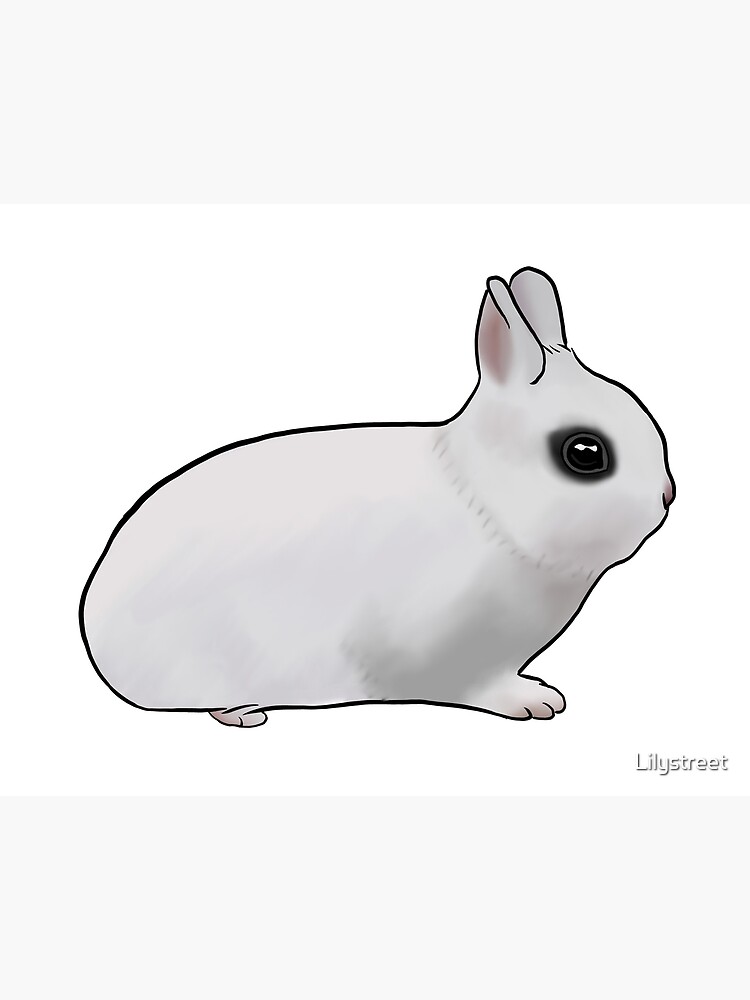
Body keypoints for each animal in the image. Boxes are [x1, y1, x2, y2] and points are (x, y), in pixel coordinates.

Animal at [80, 267, 675, 727]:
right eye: (584, 452)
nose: (668, 496)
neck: (485, 504)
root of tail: (94, 629)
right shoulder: (448, 655)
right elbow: (475, 686)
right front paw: (534, 703)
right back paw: (243, 713)